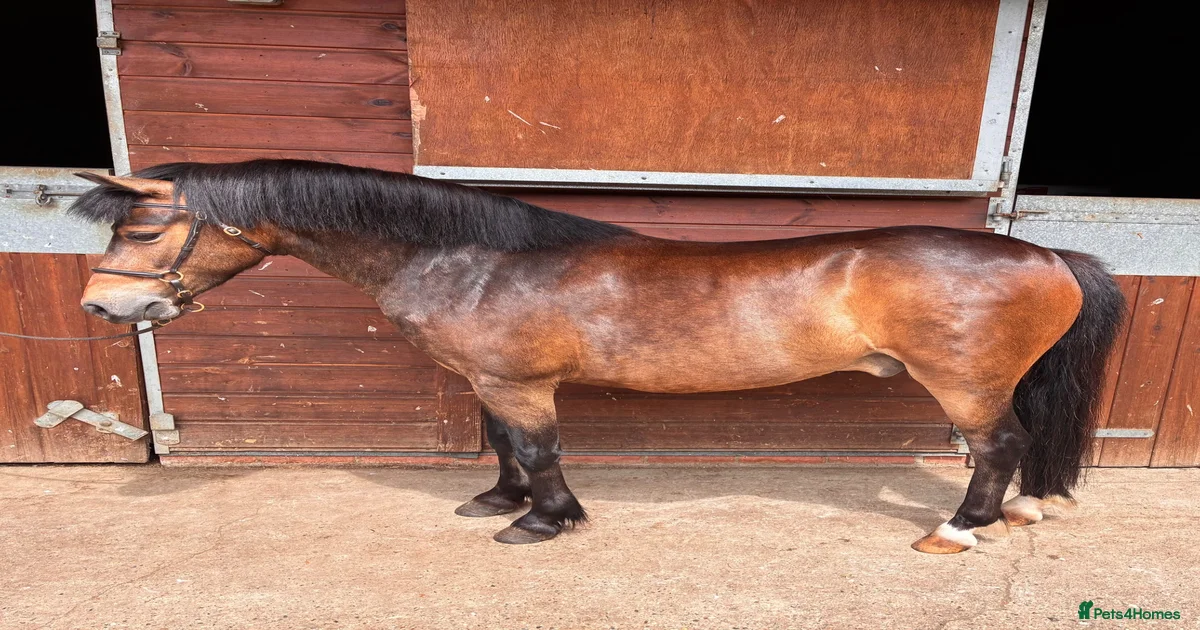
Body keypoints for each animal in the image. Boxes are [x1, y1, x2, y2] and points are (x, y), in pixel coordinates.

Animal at [70, 160, 1125, 553]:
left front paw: (543, 521)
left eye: (147, 227)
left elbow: (540, 453)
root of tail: (1044, 254)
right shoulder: (495, 382)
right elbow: (504, 448)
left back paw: (960, 527)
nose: (101, 306)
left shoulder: (520, 384)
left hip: (965, 383)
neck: (471, 255)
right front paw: (497, 500)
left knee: (993, 449)